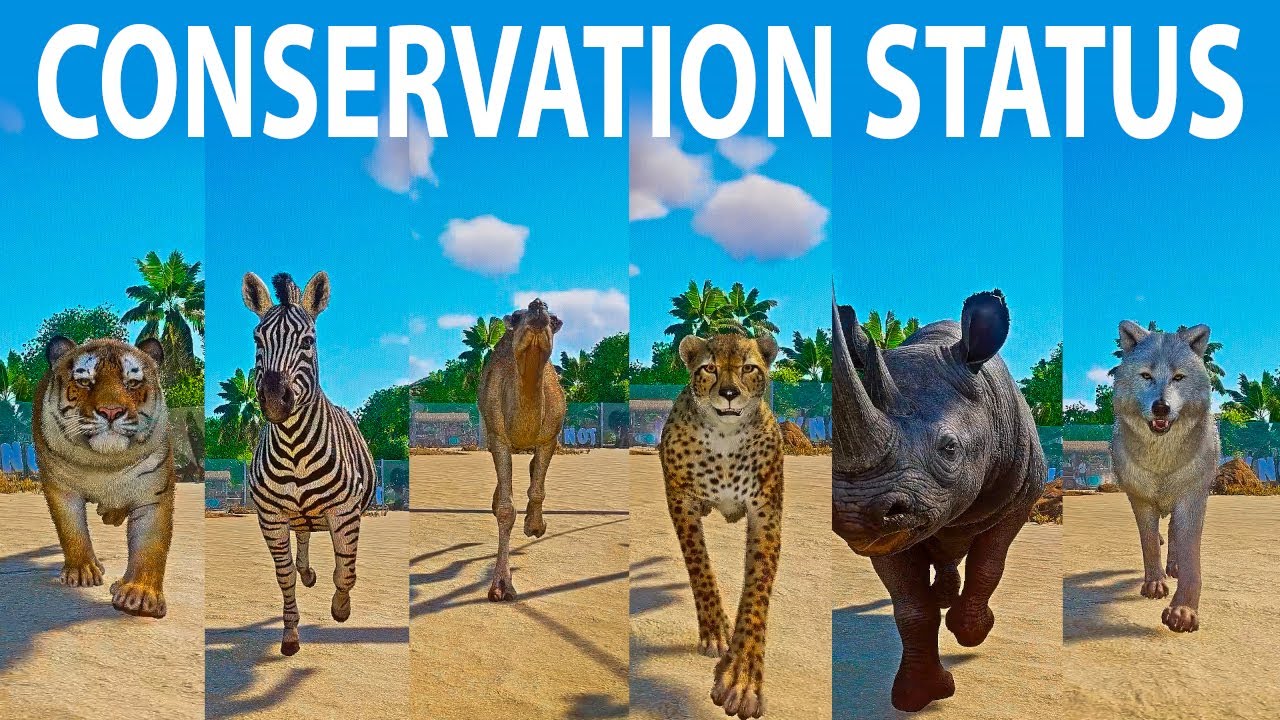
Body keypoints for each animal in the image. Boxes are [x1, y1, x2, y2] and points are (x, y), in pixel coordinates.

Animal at [1111, 321, 1220, 633]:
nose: (1161, 407)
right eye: (1146, 376)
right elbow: (1148, 543)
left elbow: (1191, 556)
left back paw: (1174, 565)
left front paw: (1183, 610)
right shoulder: (1140, 500)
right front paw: (1155, 583)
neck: (1162, 462)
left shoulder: (1192, 498)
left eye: (1178, 377)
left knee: (1173, 533)